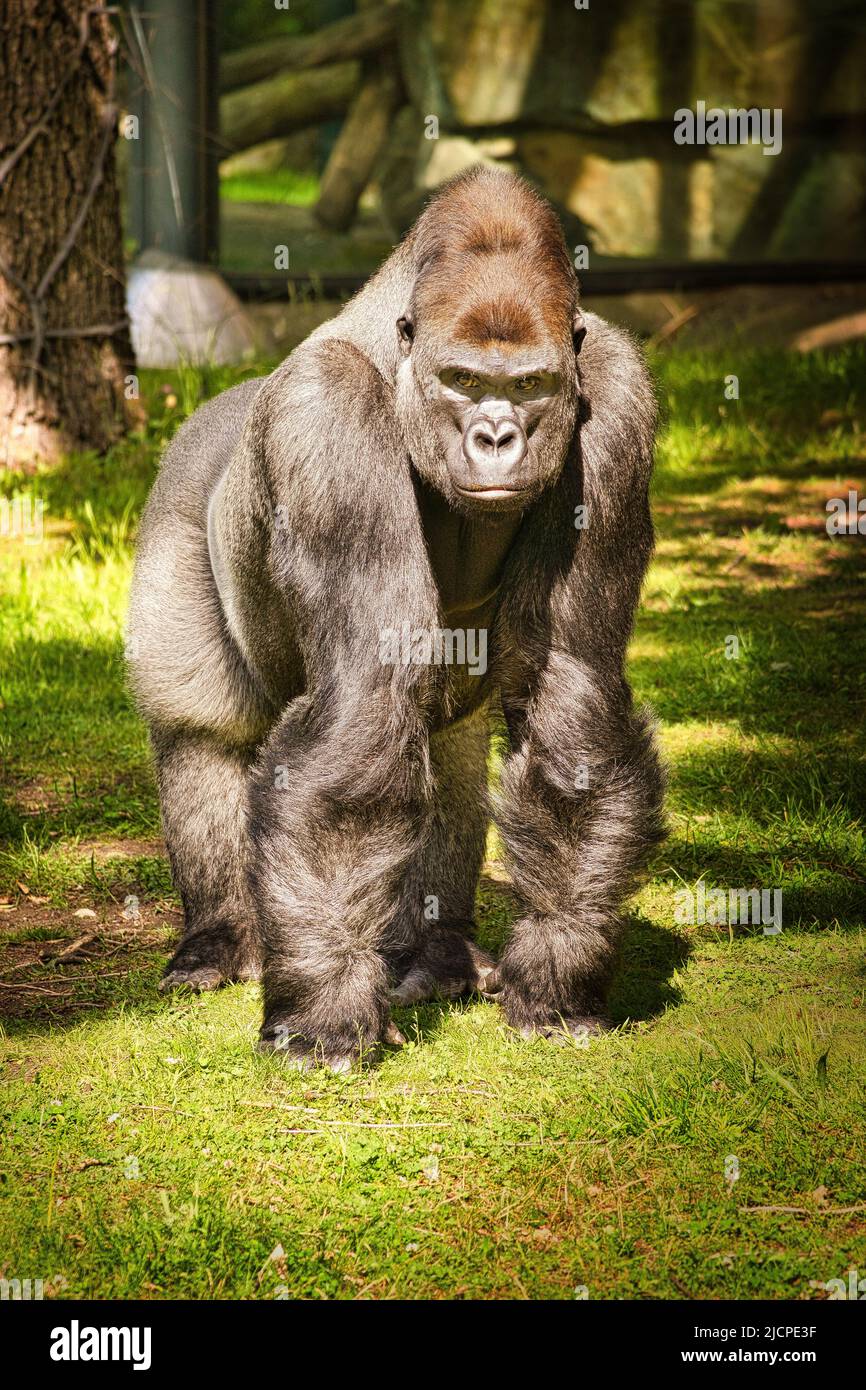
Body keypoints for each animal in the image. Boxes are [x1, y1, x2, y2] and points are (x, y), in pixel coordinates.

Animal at [126, 167, 665, 1071]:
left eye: (529, 386)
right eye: (462, 381)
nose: (496, 436)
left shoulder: (618, 397)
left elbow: (571, 690)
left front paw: (556, 974)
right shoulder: (325, 413)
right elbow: (362, 709)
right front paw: (322, 1013)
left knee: (446, 759)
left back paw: (431, 956)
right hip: (175, 511)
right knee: (204, 728)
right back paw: (217, 939)